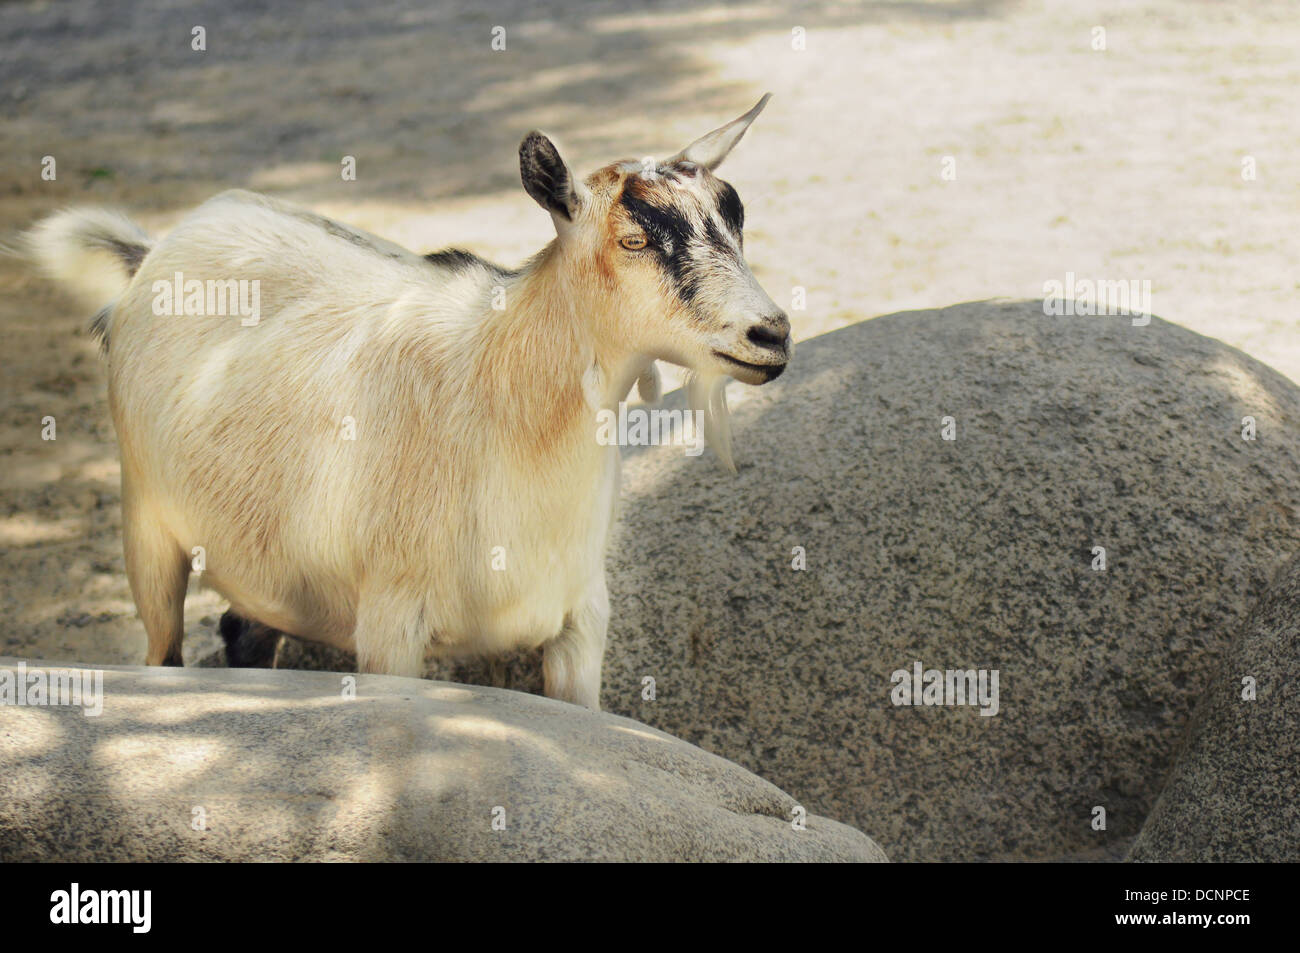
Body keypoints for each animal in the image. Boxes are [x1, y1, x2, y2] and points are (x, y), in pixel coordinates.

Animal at [26, 96, 790, 709]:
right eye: (632, 240)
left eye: (736, 221)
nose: (772, 333)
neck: (502, 402)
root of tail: (154, 249)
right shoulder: (390, 625)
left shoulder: (580, 624)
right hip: (146, 522)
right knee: (164, 648)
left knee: (244, 627)